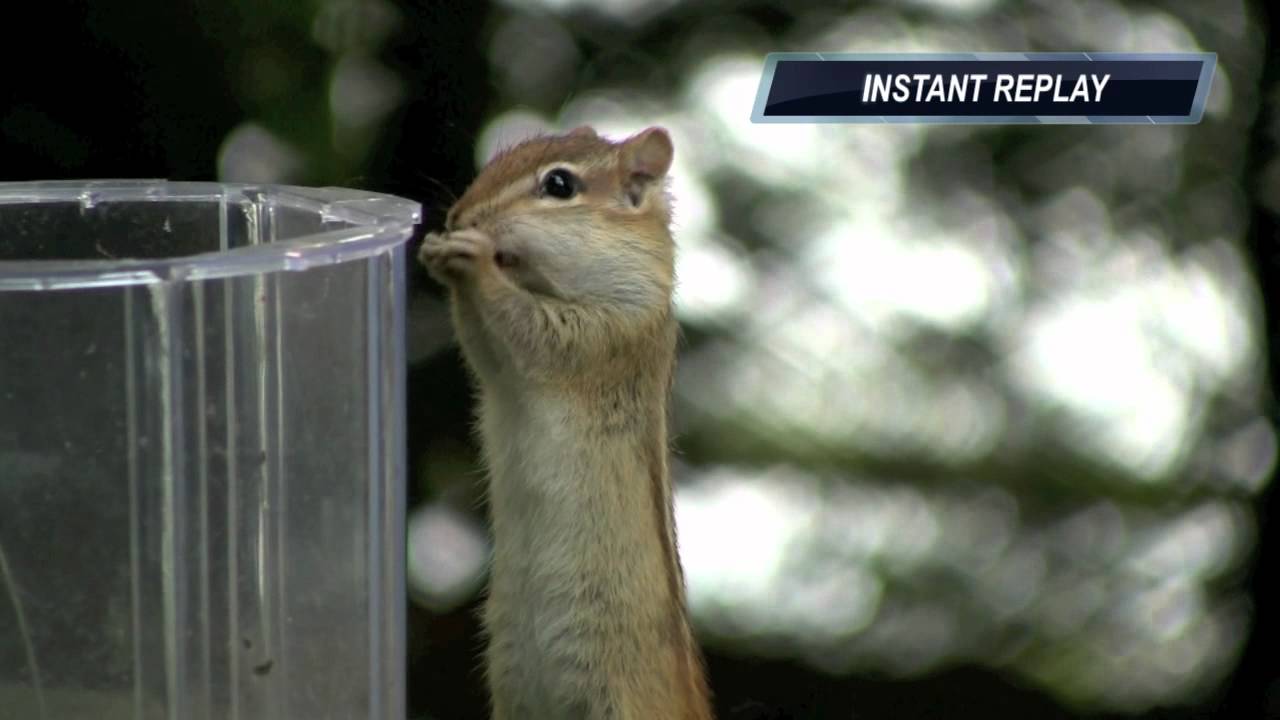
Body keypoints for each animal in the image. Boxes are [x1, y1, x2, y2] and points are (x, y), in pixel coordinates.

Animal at [418, 125, 715, 720]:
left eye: (559, 185)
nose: (460, 216)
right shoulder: (498, 367)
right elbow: (484, 349)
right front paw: (439, 251)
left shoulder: (611, 329)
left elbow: (533, 333)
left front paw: (473, 262)